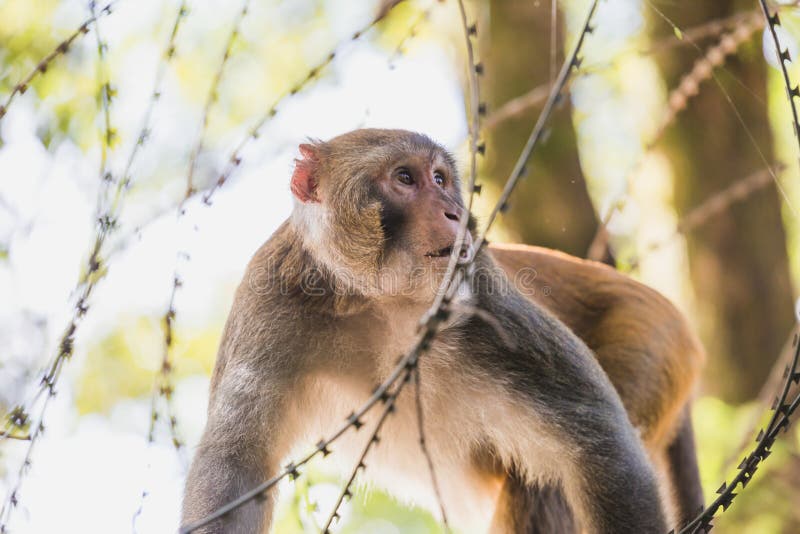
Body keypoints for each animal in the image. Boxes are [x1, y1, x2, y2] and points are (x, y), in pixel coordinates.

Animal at [182, 128, 703, 534]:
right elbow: (237, 475)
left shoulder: (487, 303)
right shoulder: (267, 305)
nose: (456, 212)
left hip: (649, 342)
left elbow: (602, 449)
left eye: (440, 180)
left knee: (545, 482)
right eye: (404, 178)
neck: (377, 298)